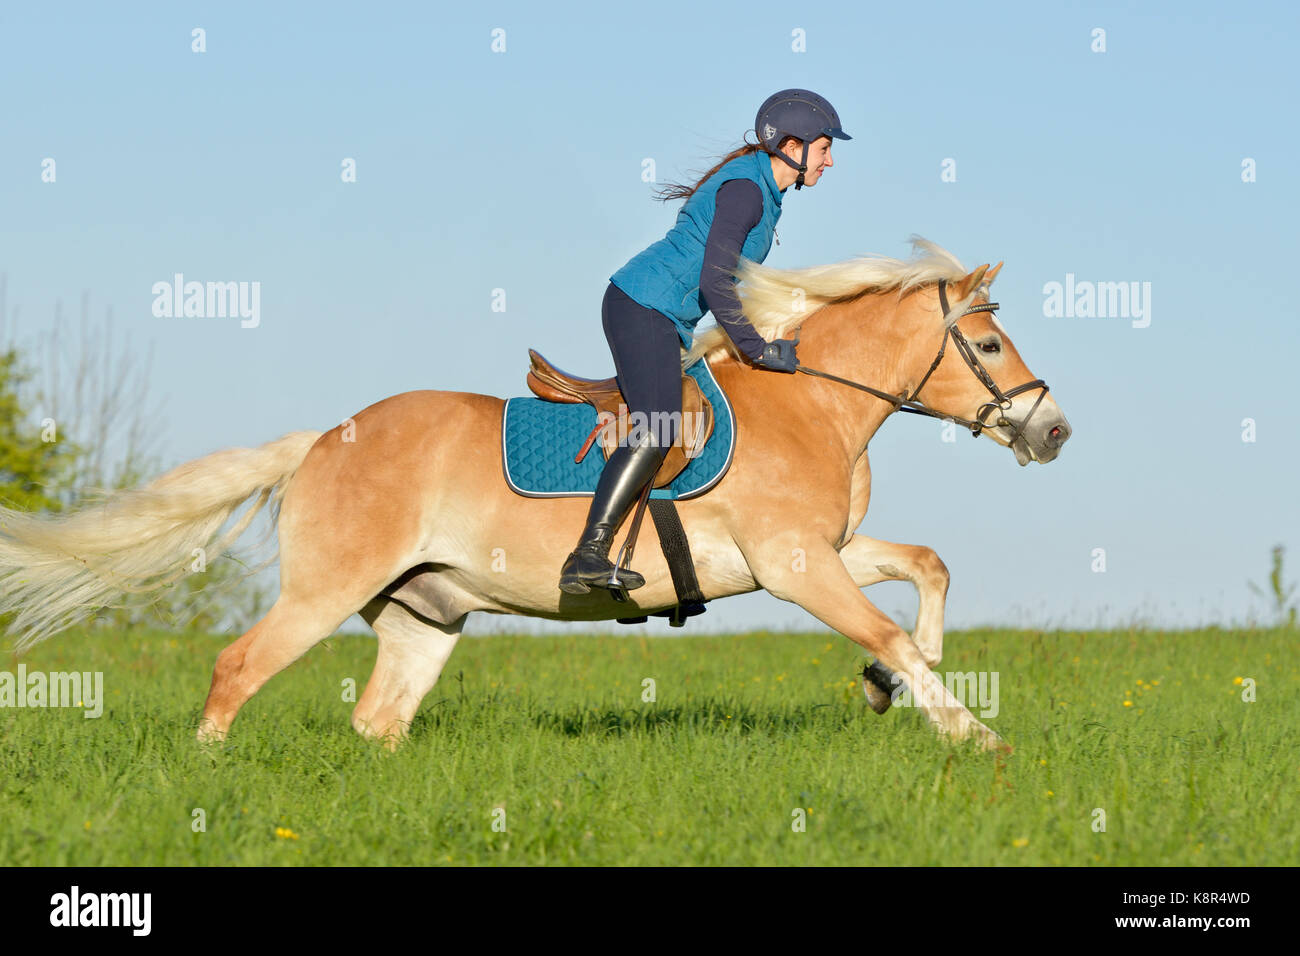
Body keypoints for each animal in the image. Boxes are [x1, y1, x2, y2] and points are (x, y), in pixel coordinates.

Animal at [0, 239, 1070, 752]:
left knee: (377, 720)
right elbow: (891, 625)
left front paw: (888, 686)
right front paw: (975, 737)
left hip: (425, 613)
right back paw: (207, 777)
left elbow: (927, 569)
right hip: (323, 591)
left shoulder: (824, 552)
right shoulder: (794, 565)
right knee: (237, 669)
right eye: (986, 343)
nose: (1052, 431)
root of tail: (323, 441)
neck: (807, 401)